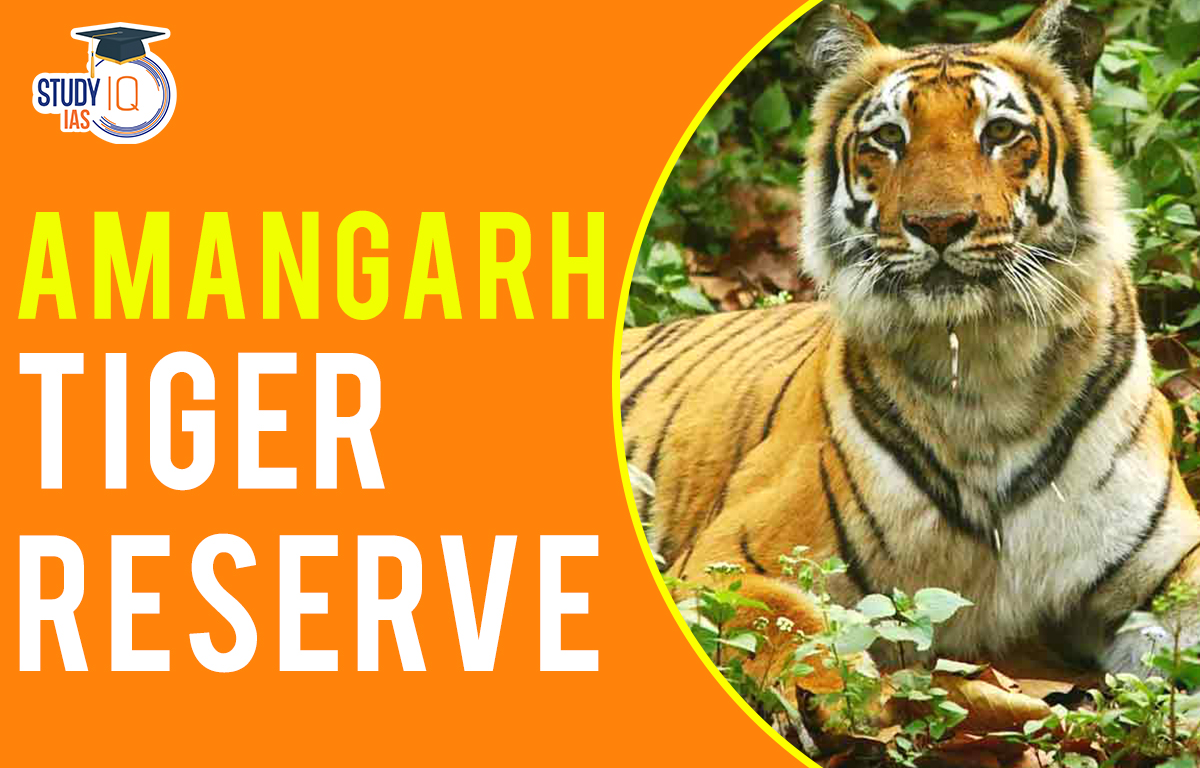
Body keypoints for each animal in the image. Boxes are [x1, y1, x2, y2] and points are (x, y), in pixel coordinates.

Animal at [619, 0, 1200, 682]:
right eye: (889, 138)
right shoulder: (730, 561)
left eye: (1000, 132)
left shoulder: (1167, 568)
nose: (939, 224)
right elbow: (797, 635)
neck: (982, 363)